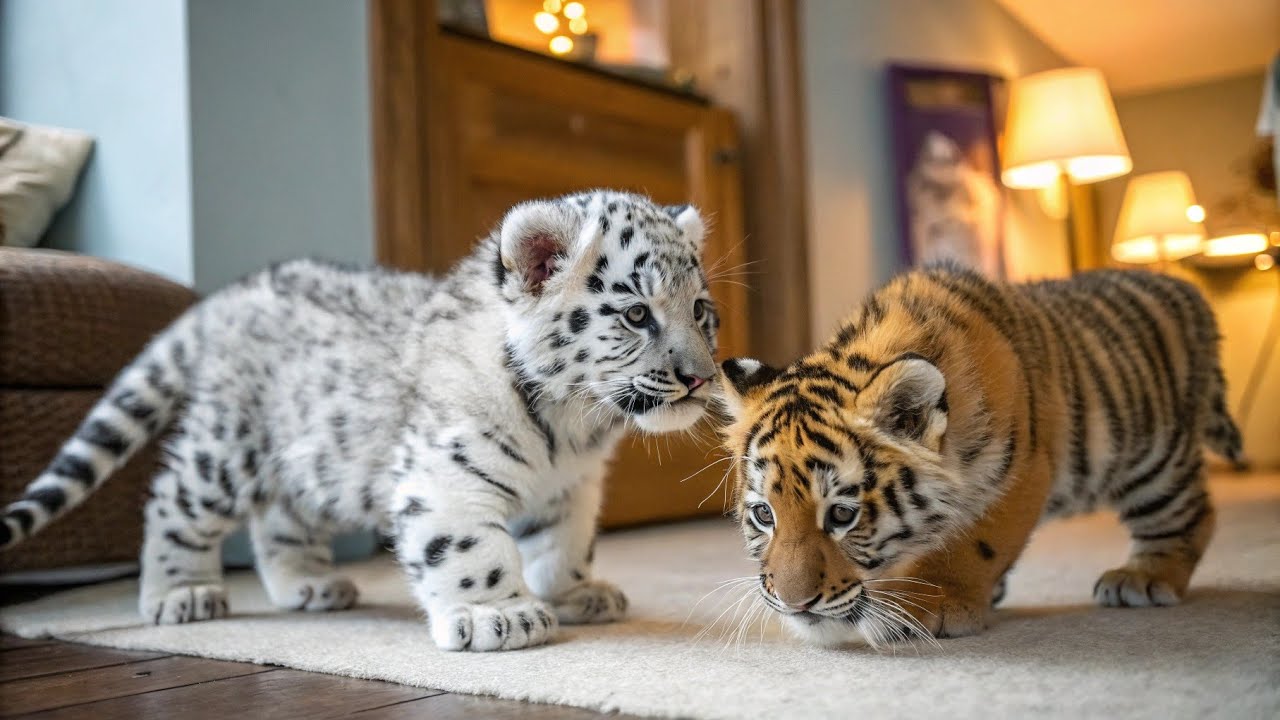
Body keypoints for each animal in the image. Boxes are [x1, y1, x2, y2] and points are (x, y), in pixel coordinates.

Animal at [0, 190, 720, 652]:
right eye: (636, 313)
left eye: (700, 309)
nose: (700, 376)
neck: (574, 427)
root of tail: (228, 295)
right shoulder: (446, 477)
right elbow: (471, 548)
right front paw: (497, 615)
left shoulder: (571, 489)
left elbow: (562, 543)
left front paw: (575, 593)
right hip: (226, 448)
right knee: (173, 501)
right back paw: (182, 594)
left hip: (309, 460)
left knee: (280, 517)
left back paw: (309, 584)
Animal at [717, 262, 1243, 646]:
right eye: (764, 515)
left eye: (843, 515)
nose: (795, 603)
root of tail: (1183, 286)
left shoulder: (1021, 472)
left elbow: (974, 543)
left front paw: (932, 605)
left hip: (1153, 461)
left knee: (1190, 513)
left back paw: (1143, 578)